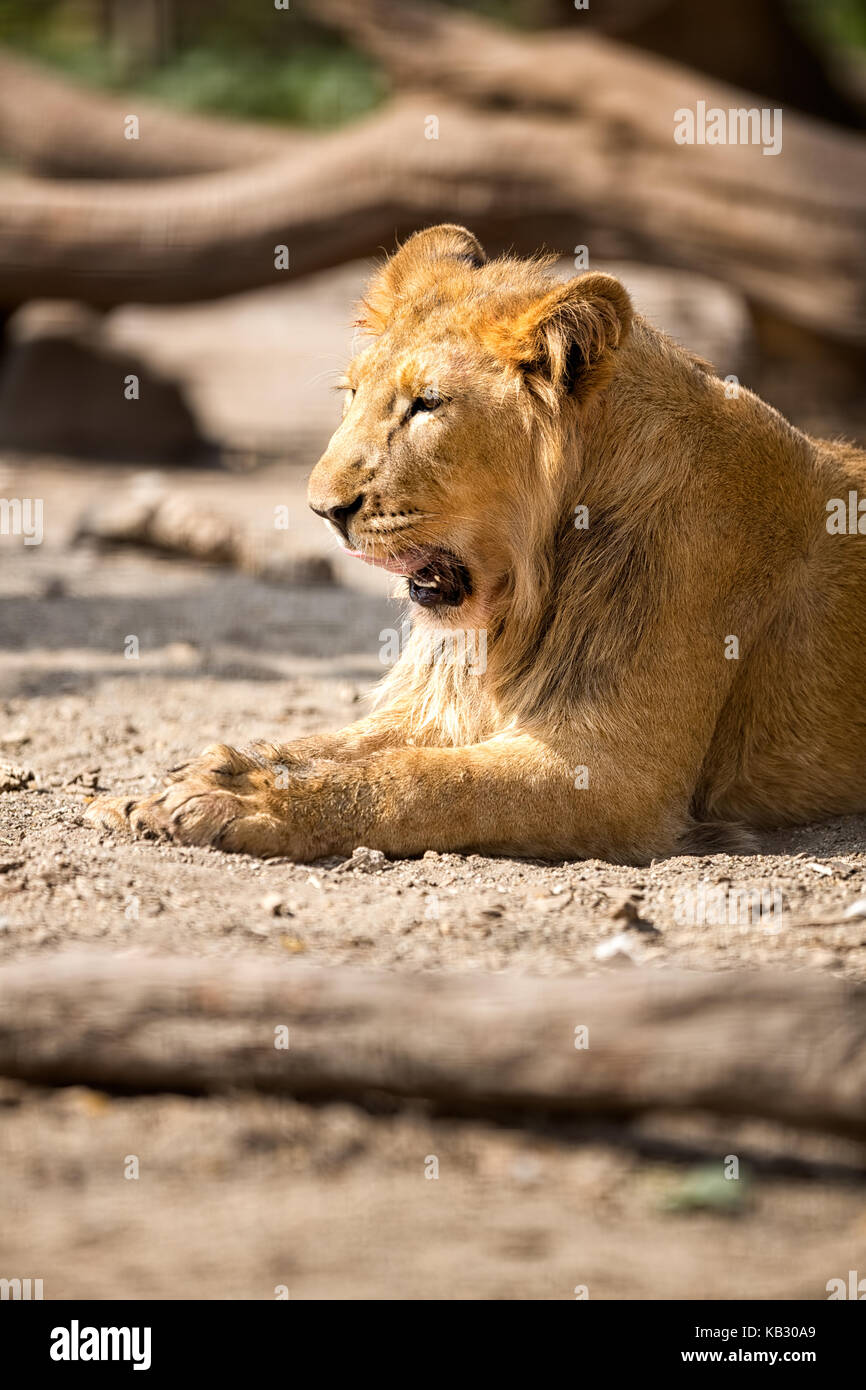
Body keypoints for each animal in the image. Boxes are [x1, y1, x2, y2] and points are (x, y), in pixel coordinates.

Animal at [86, 224, 866, 864]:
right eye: (353, 392)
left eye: (427, 404)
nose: (322, 510)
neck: (524, 593)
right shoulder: (434, 705)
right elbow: (332, 742)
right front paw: (182, 778)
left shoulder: (614, 773)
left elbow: (423, 781)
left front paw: (248, 802)